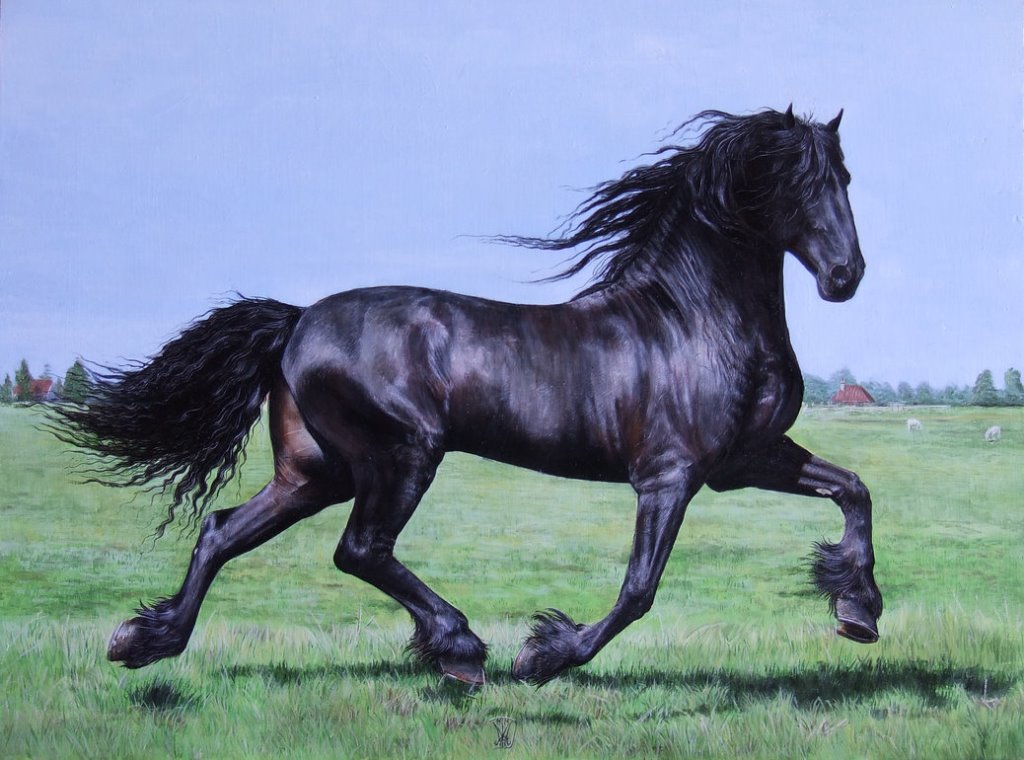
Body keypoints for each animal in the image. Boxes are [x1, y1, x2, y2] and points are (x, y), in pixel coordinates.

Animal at [52, 106, 881, 686]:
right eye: (795, 183)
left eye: (844, 180)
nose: (847, 278)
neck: (688, 321)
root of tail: (297, 321)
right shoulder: (669, 476)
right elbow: (639, 589)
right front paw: (544, 654)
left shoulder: (747, 460)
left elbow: (853, 490)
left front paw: (858, 610)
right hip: (401, 456)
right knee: (360, 549)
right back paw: (462, 649)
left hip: (315, 471)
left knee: (224, 531)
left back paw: (144, 641)